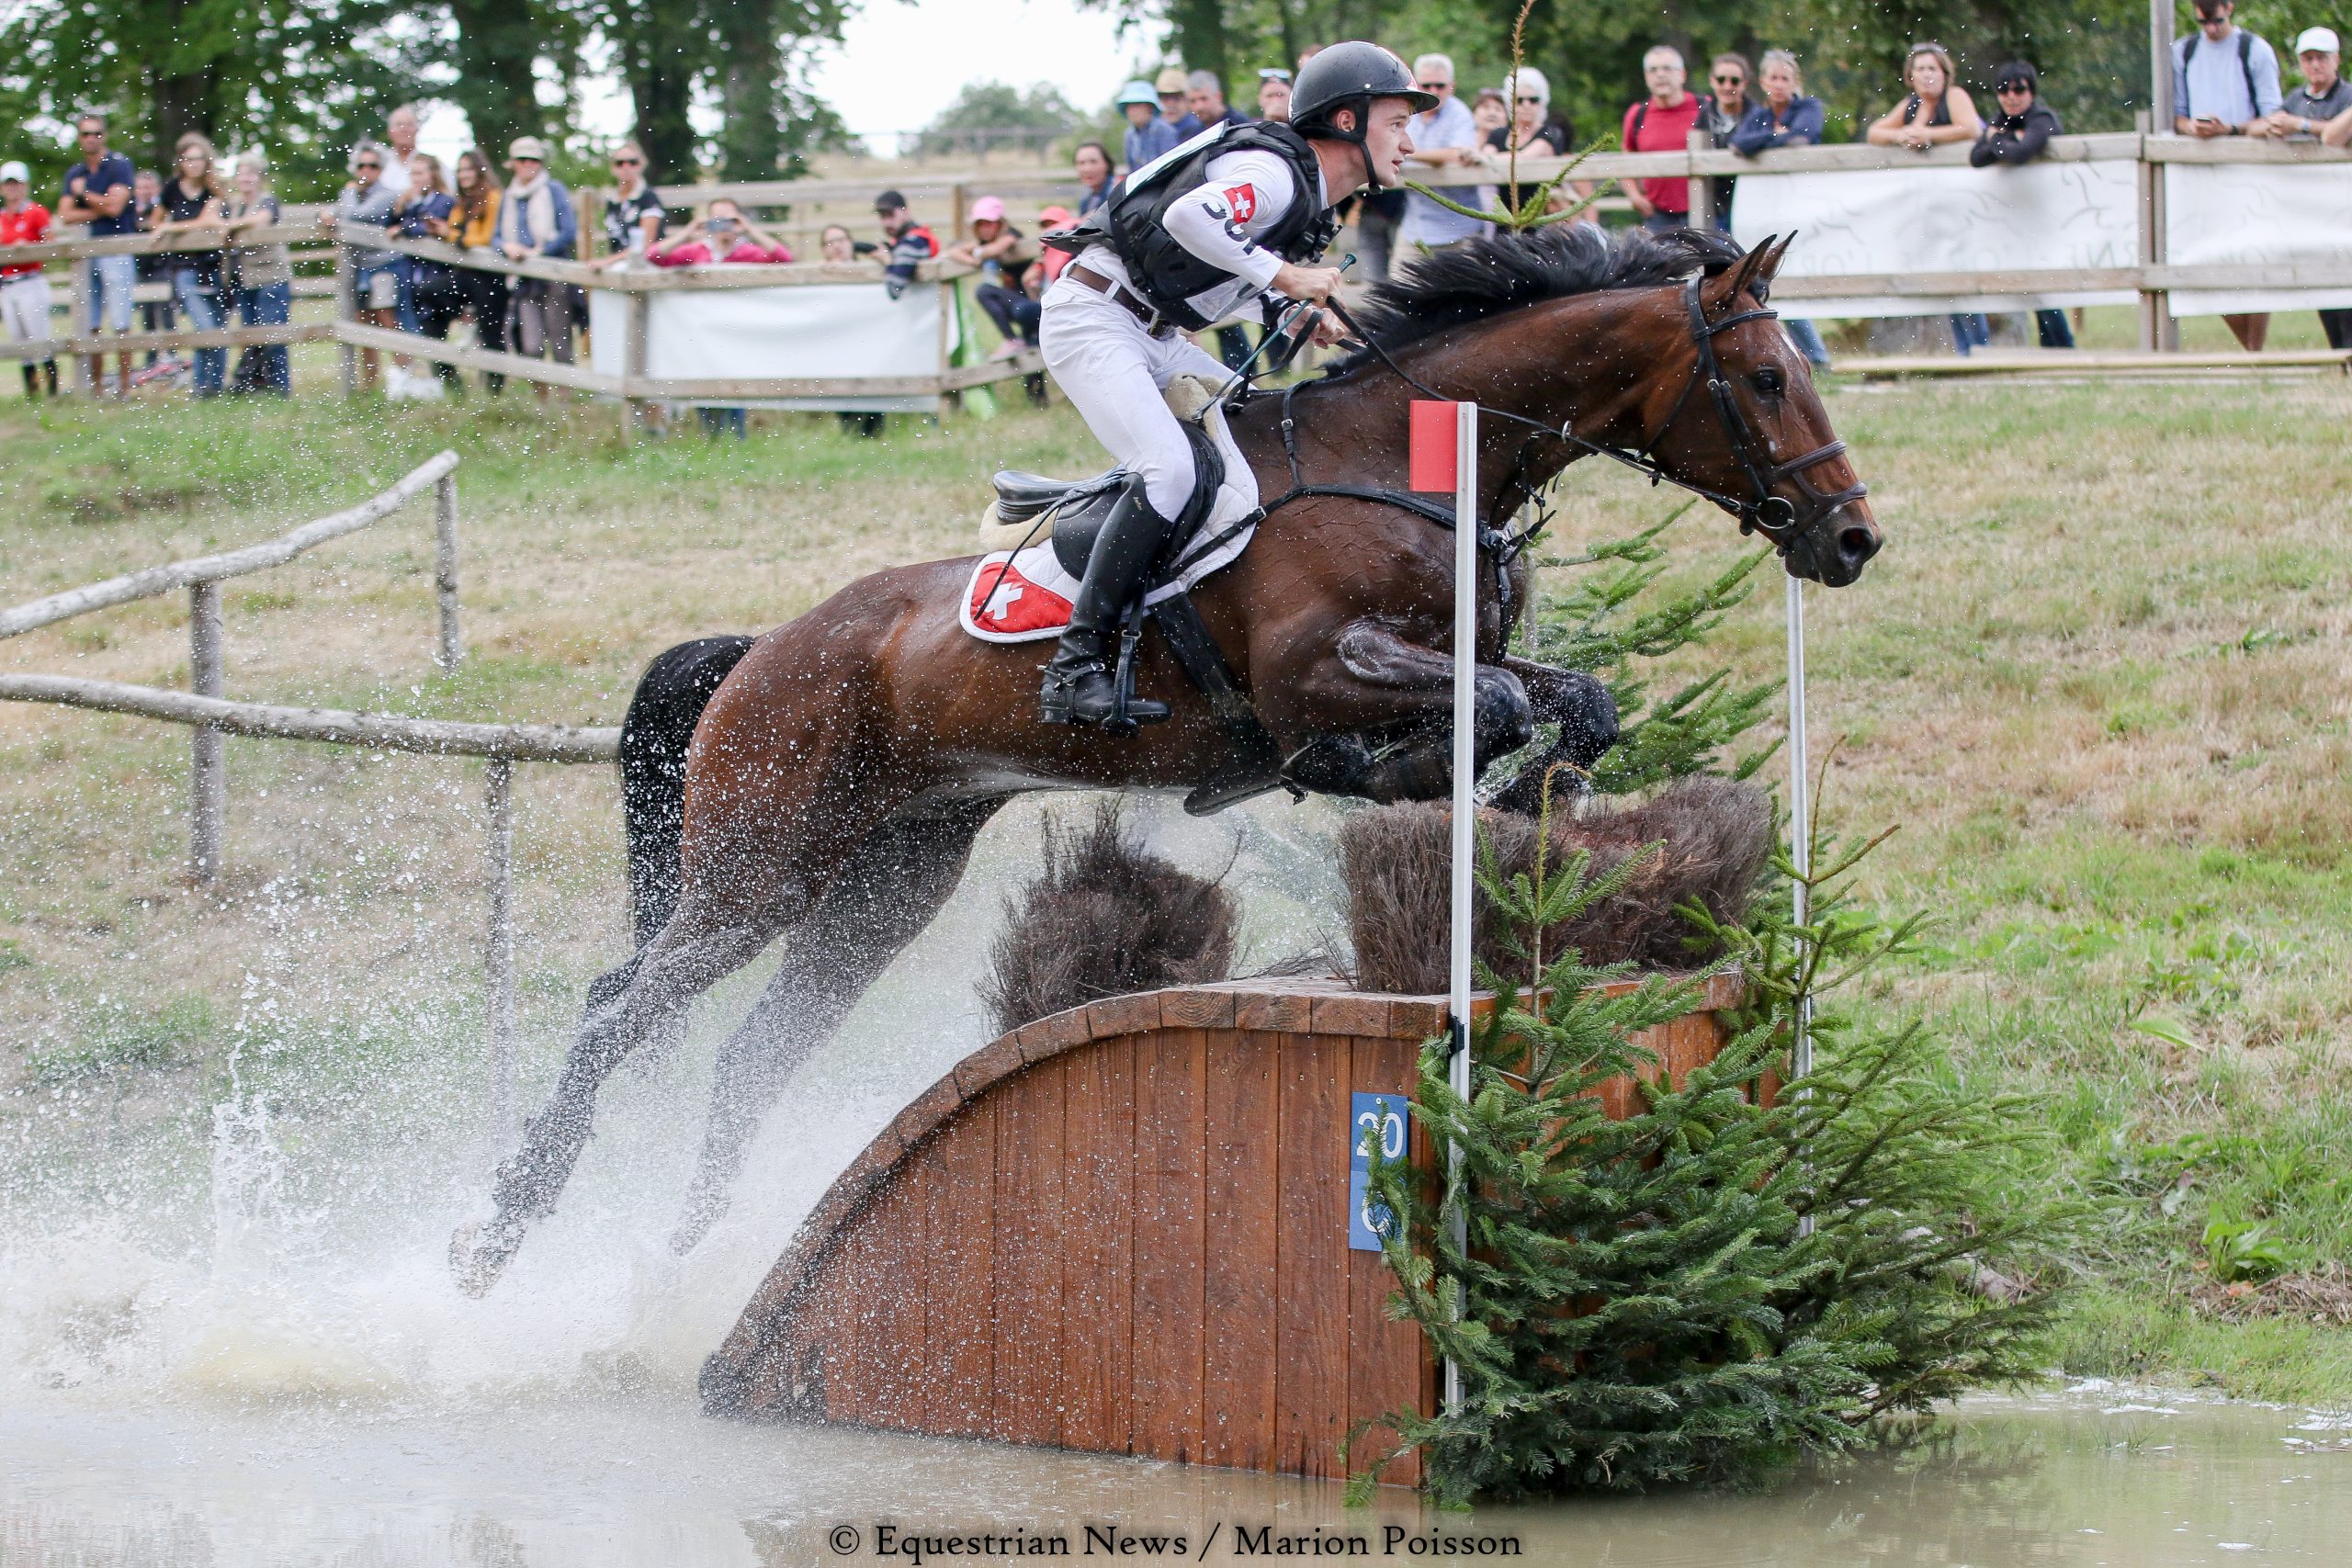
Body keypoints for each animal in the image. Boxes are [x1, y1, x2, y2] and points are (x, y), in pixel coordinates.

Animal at [450, 224, 1881, 1293]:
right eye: (1764, 380)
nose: (1851, 540)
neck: (1406, 464)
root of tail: (766, 646)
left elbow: (1573, 705)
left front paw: (1526, 813)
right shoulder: (1317, 673)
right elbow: (1491, 705)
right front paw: (1410, 783)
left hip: (887, 879)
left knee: (752, 1054)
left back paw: (685, 1253)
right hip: (765, 860)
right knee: (618, 1010)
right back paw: (499, 1233)